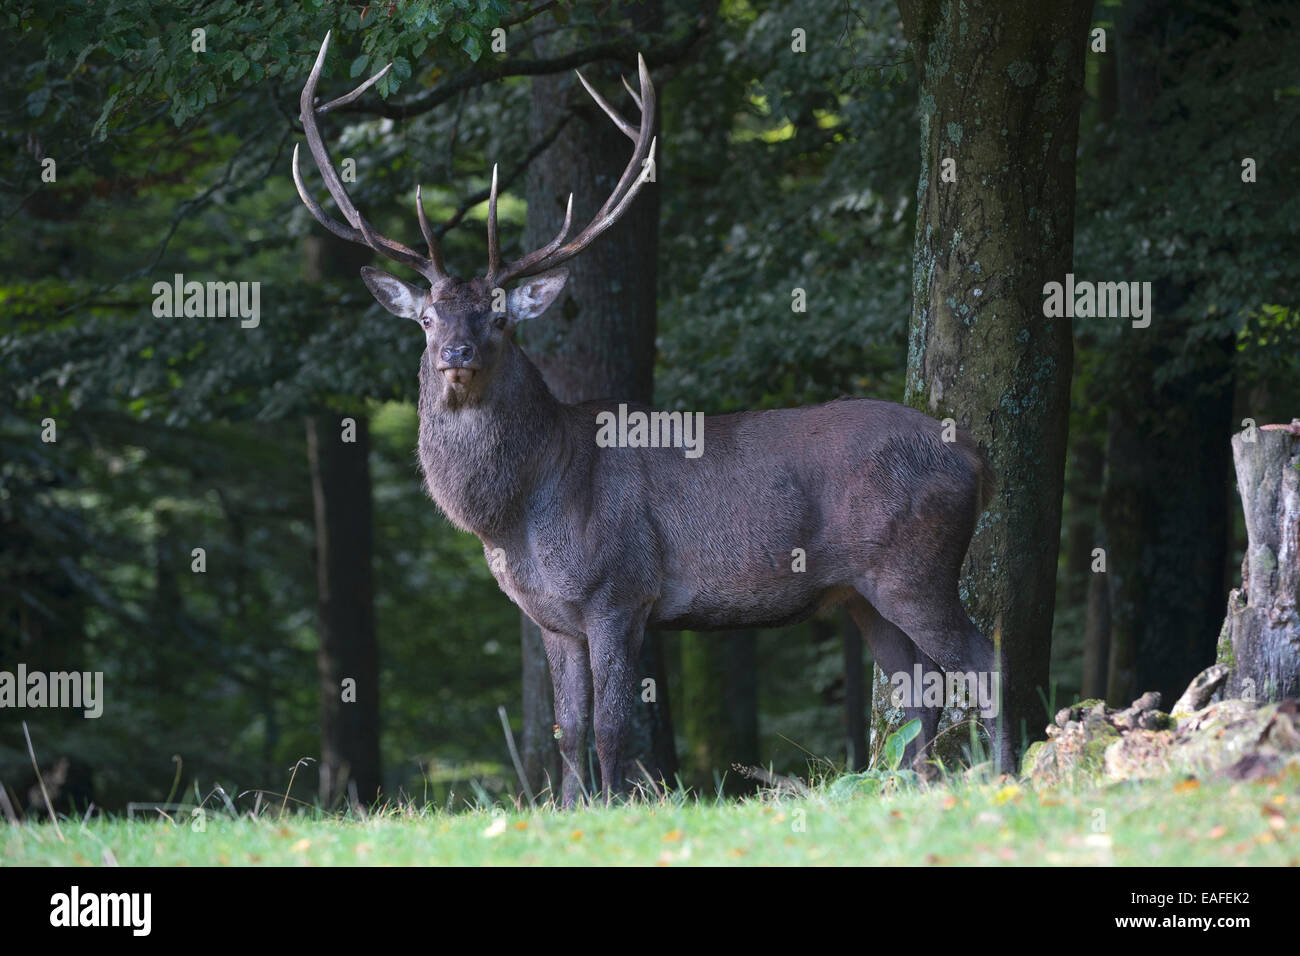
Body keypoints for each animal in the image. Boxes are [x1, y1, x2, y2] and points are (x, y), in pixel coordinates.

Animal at [292, 33, 1008, 806]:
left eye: (499, 316)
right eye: (426, 318)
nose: (456, 351)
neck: (518, 513)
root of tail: (975, 457)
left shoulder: (619, 589)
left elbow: (613, 729)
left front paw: (609, 809)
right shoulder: (552, 617)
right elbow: (567, 731)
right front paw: (566, 810)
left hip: (915, 564)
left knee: (984, 664)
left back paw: (1008, 778)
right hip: (862, 591)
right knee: (918, 690)